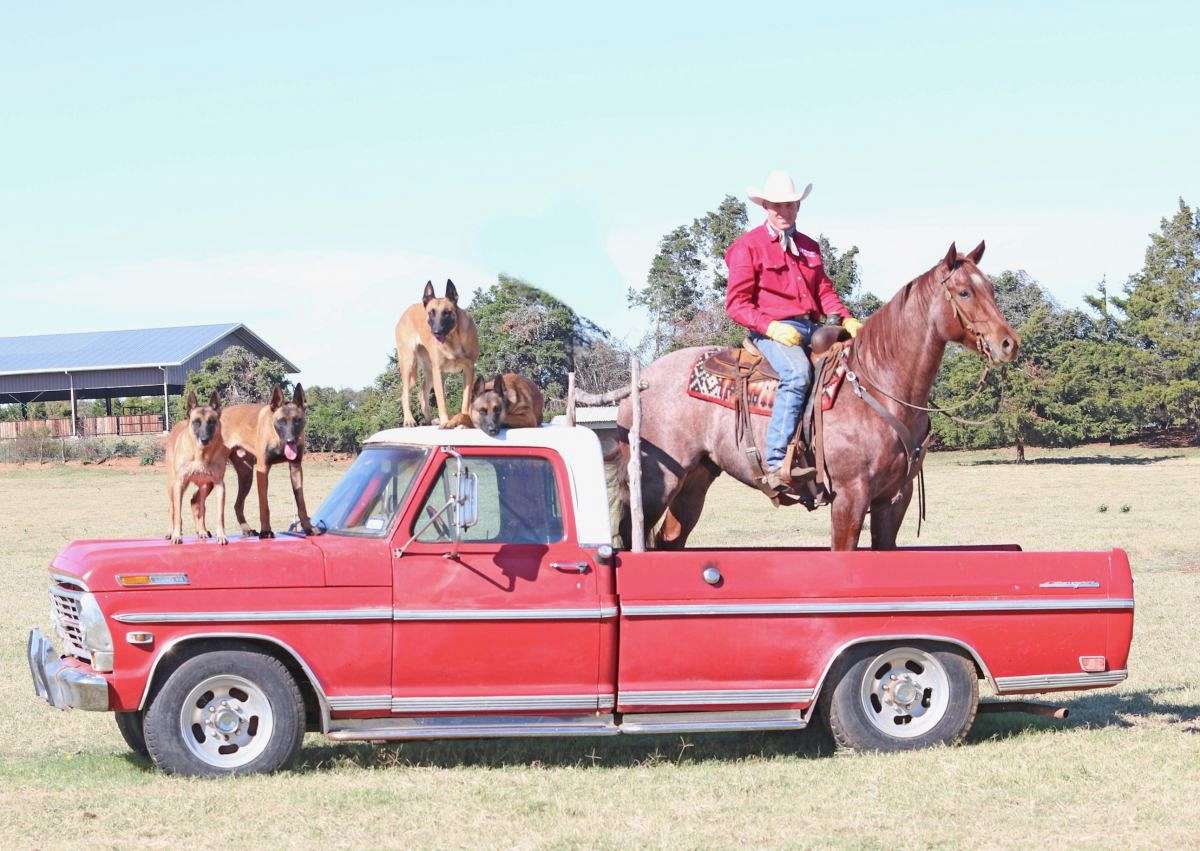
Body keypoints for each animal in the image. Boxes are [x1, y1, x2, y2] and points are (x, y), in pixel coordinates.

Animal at [615, 241, 1019, 551]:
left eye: (992, 290)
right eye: (964, 292)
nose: (1007, 344)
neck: (881, 386)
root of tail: (638, 384)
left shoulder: (894, 500)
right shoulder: (850, 498)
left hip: (695, 481)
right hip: (654, 485)